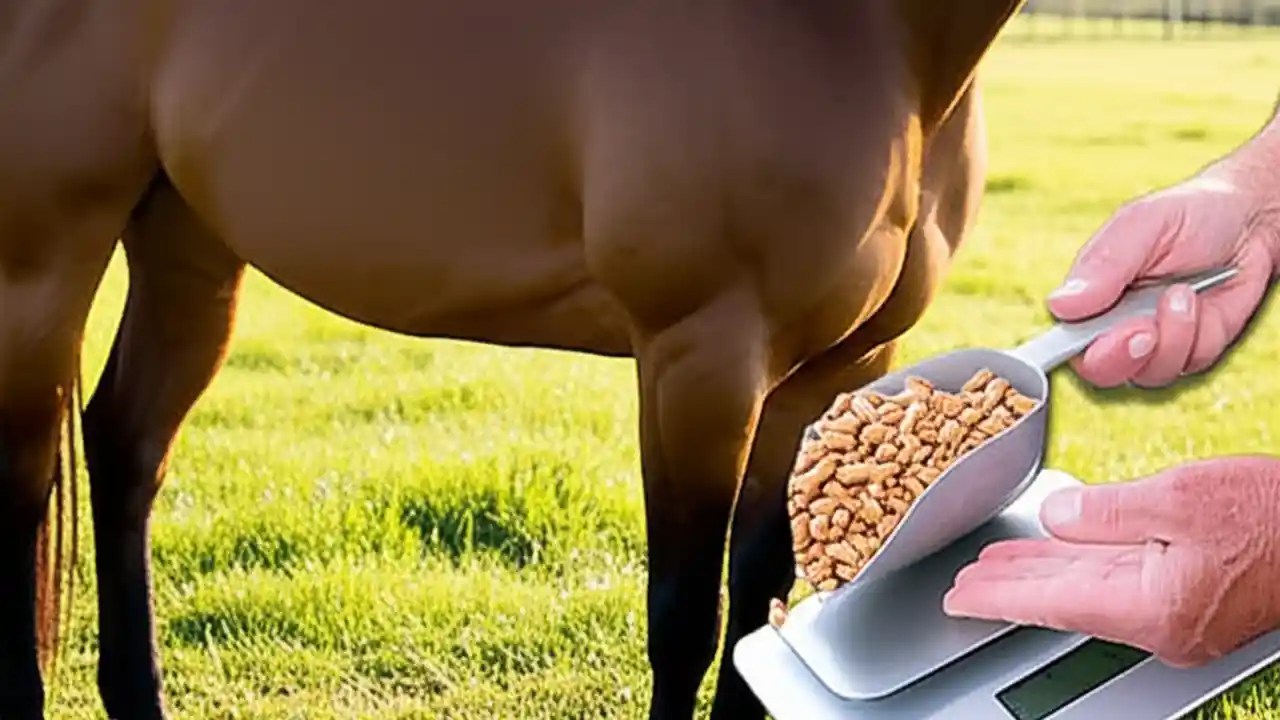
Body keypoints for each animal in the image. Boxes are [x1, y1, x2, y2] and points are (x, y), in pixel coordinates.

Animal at [0, 0, 1024, 717]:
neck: (861, 34)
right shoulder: (702, 359)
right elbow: (684, 620)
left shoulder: (834, 372)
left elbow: (758, 599)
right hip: (41, 263)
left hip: (190, 251)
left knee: (125, 449)